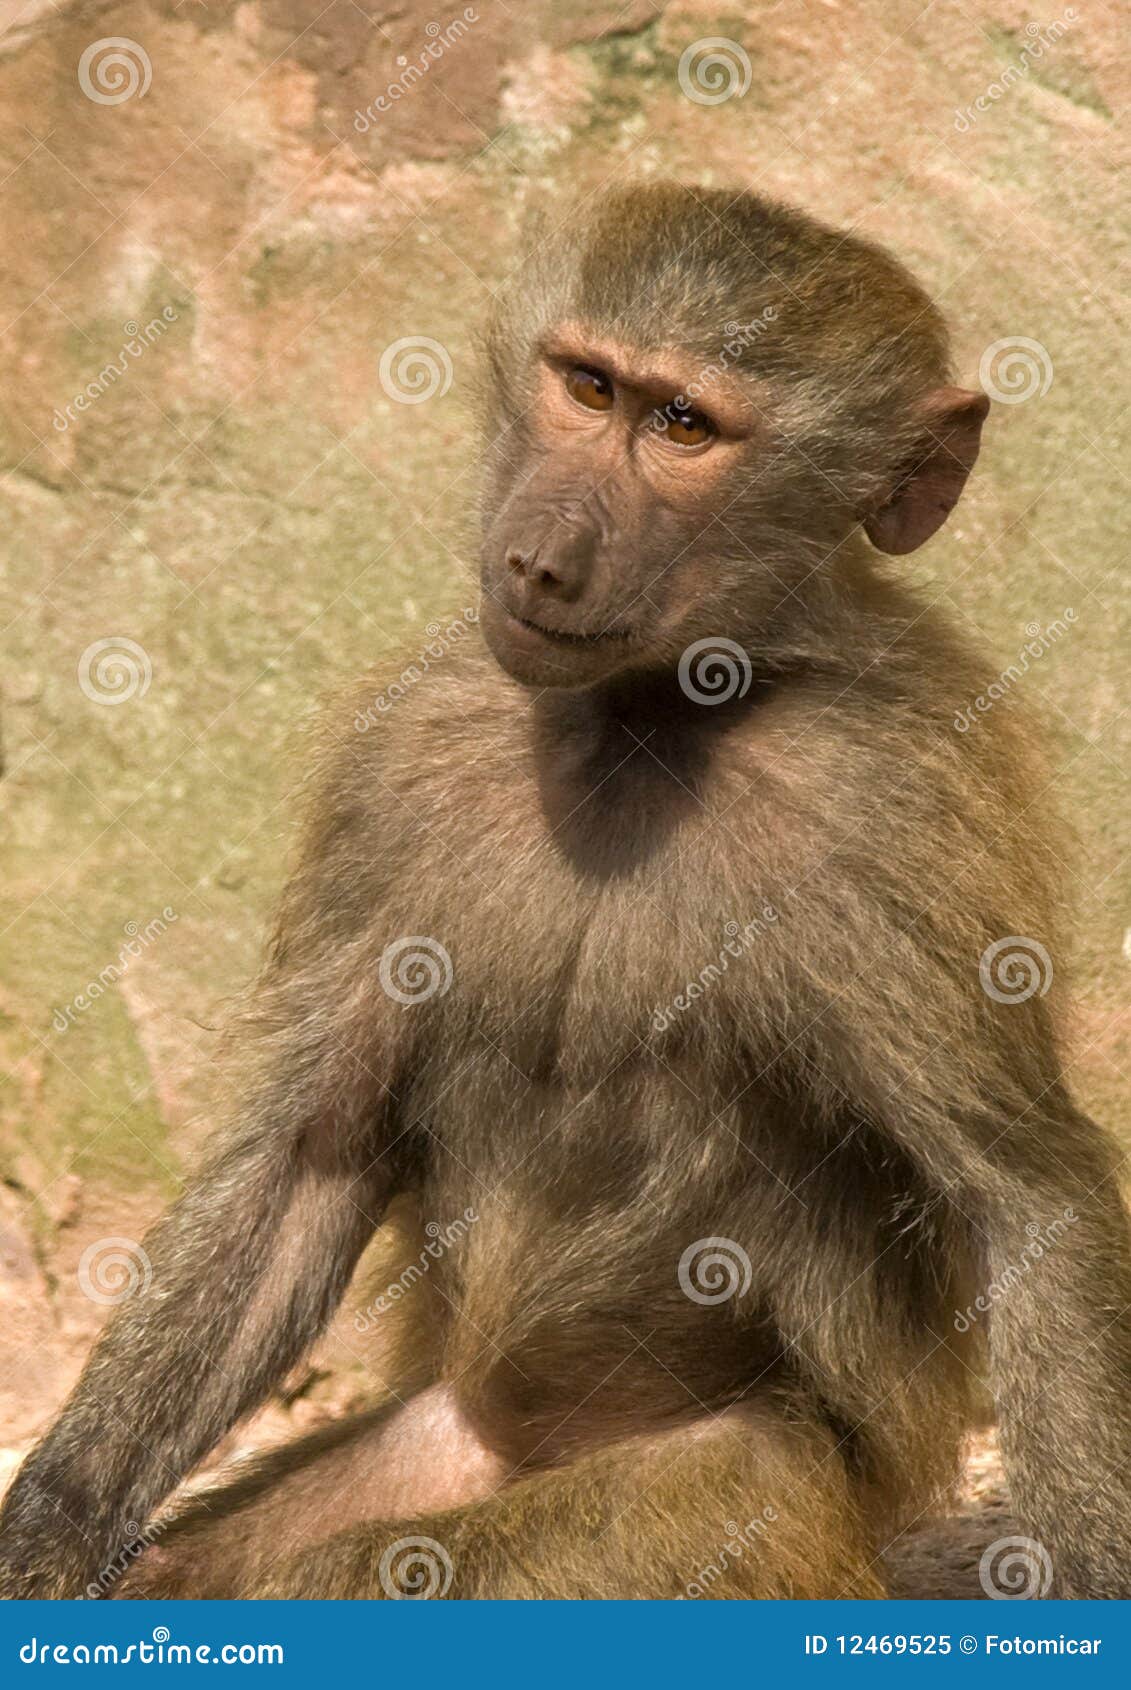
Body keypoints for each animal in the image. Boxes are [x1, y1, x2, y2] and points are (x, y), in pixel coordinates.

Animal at [2, 180, 1129, 1601]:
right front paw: (52, 1531)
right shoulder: (405, 751)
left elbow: (1021, 1190)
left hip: (743, 1513)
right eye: (590, 388)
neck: (653, 716)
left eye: (685, 426)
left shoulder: (905, 800)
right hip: (440, 1440)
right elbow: (311, 1154)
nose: (539, 559)